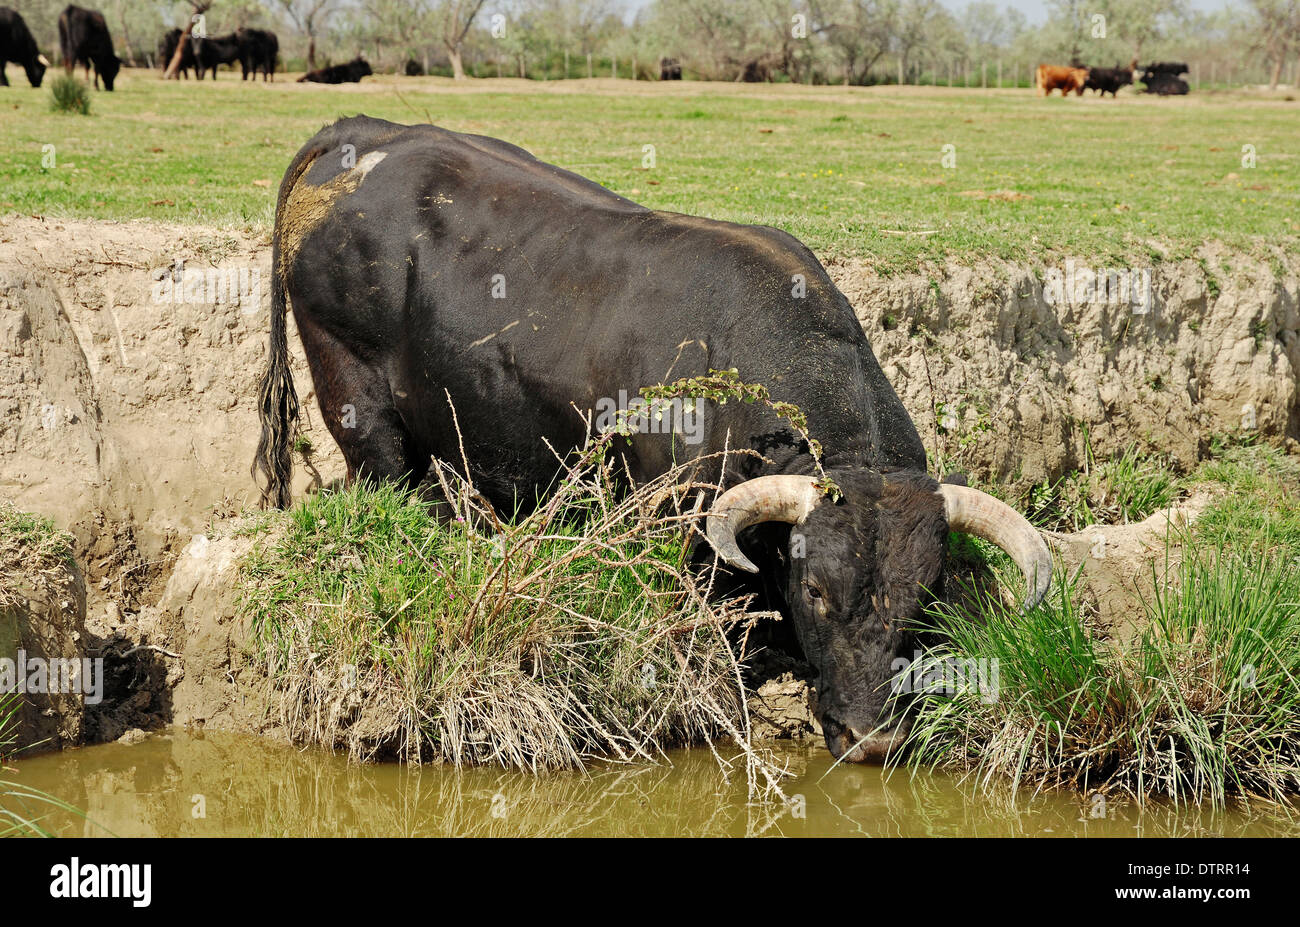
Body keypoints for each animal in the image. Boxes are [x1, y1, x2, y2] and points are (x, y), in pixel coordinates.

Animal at [253, 116, 1052, 765]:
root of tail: (368, 133)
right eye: (817, 593)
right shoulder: (668, 519)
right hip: (356, 399)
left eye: (923, 600)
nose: (873, 738)